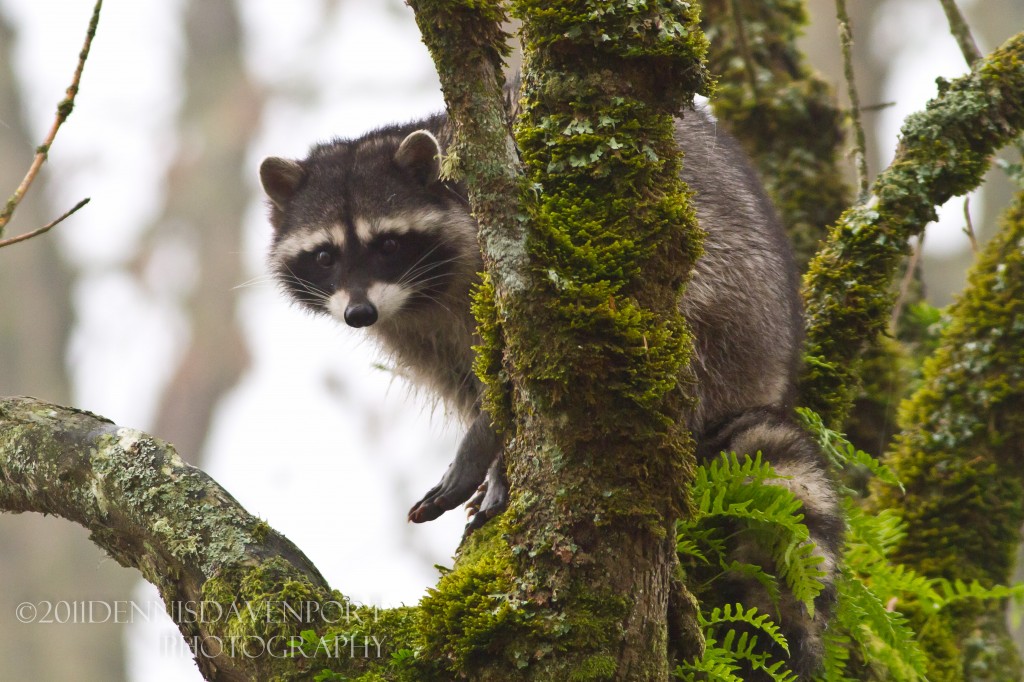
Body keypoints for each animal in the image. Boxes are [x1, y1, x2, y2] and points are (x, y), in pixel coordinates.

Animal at [260, 106, 842, 679]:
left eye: (388, 244)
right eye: (325, 255)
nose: (359, 313)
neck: (421, 294)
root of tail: (771, 370)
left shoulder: (508, 264)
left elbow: (512, 378)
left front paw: (483, 450)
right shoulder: (417, 333)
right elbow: (469, 383)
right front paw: (494, 456)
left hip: (724, 296)